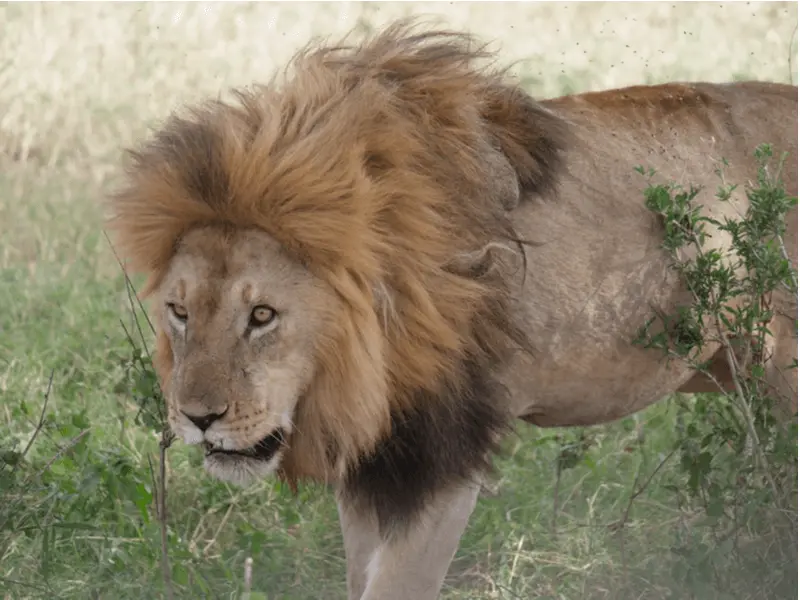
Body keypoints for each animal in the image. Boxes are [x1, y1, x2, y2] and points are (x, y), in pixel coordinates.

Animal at [106, 20, 798, 600]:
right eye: (180, 312)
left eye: (262, 317)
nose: (198, 419)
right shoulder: (376, 457)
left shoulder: (444, 454)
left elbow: (396, 587)